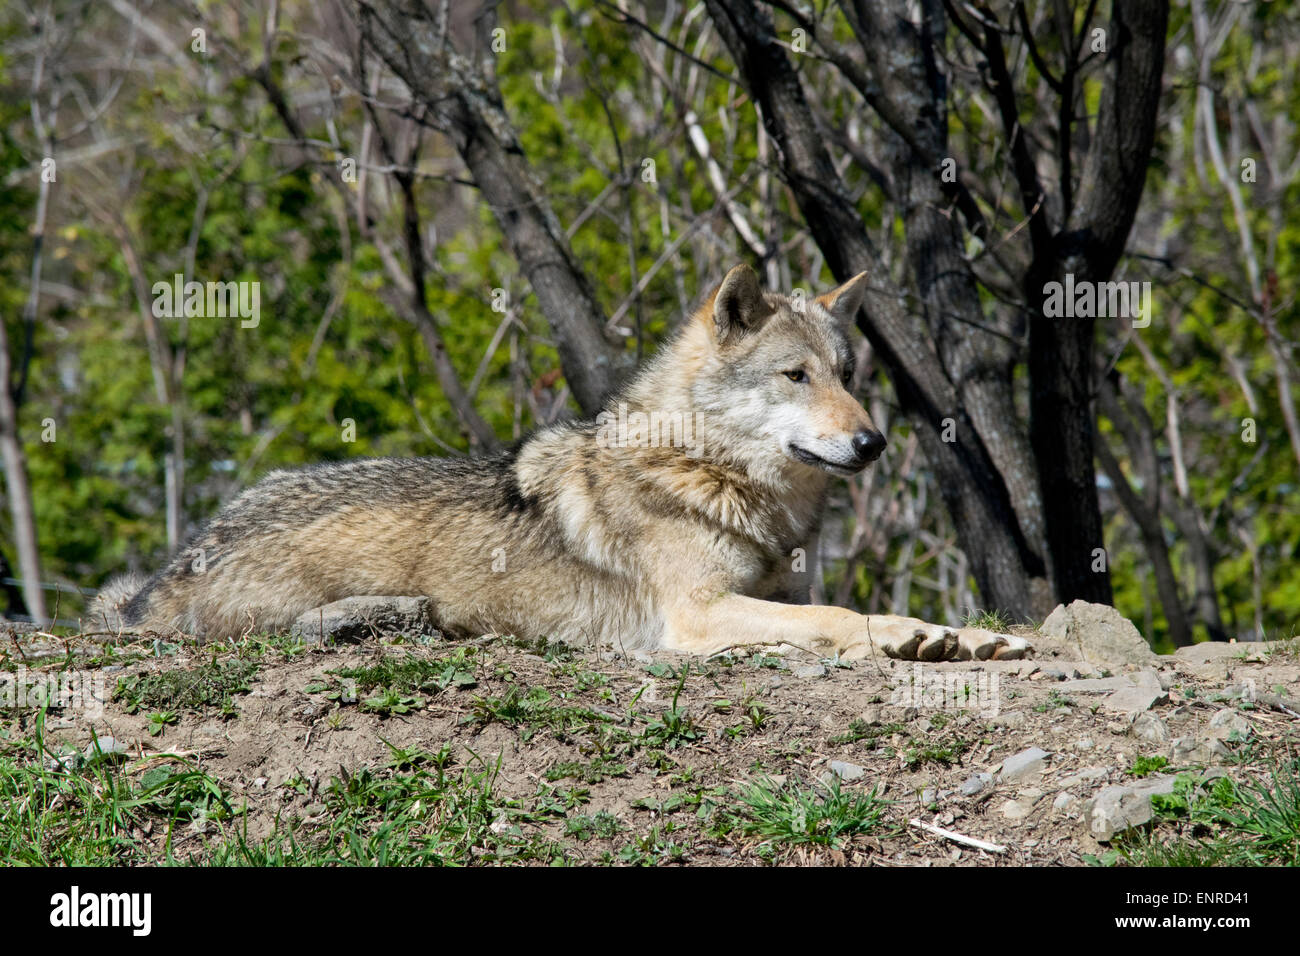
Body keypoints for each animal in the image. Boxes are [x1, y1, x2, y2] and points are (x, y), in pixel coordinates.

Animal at [98, 265, 1031, 662]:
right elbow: (842, 617)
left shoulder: (772, 591)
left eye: (849, 375)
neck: (703, 473)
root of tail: (172, 570)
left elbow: (838, 608)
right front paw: (912, 635)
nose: (872, 442)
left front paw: (967, 635)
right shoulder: (696, 616)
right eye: (795, 376)